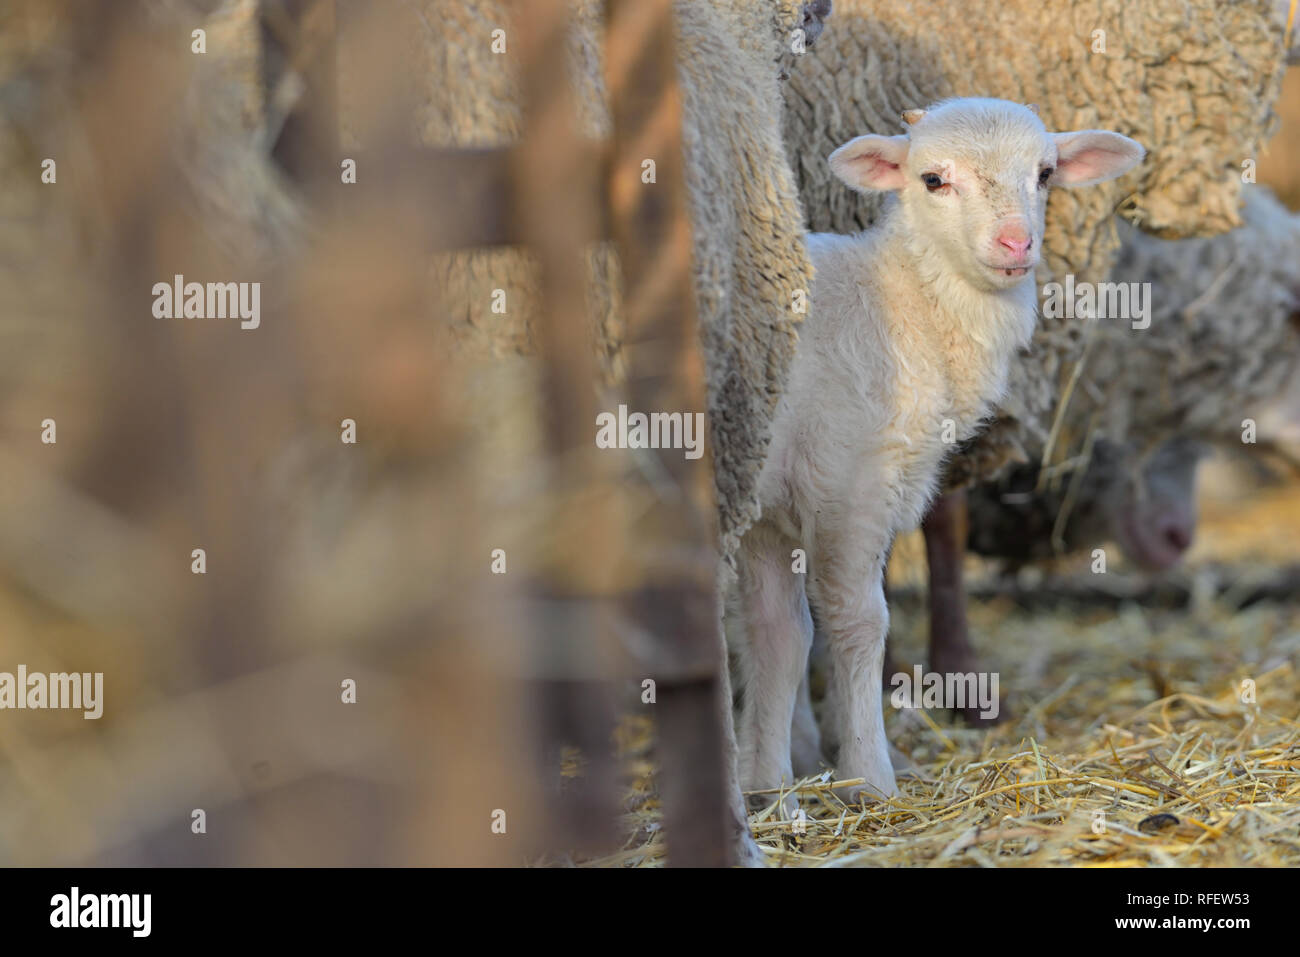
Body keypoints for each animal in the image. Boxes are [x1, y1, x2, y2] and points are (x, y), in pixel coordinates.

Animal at [728, 98, 1144, 799]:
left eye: (1045, 174)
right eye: (932, 180)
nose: (1016, 244)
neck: (907, 301)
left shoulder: (770, 505)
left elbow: (778, 636)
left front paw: (769, 785)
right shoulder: (848, 485)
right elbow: (859, 625)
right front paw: (869, 777)